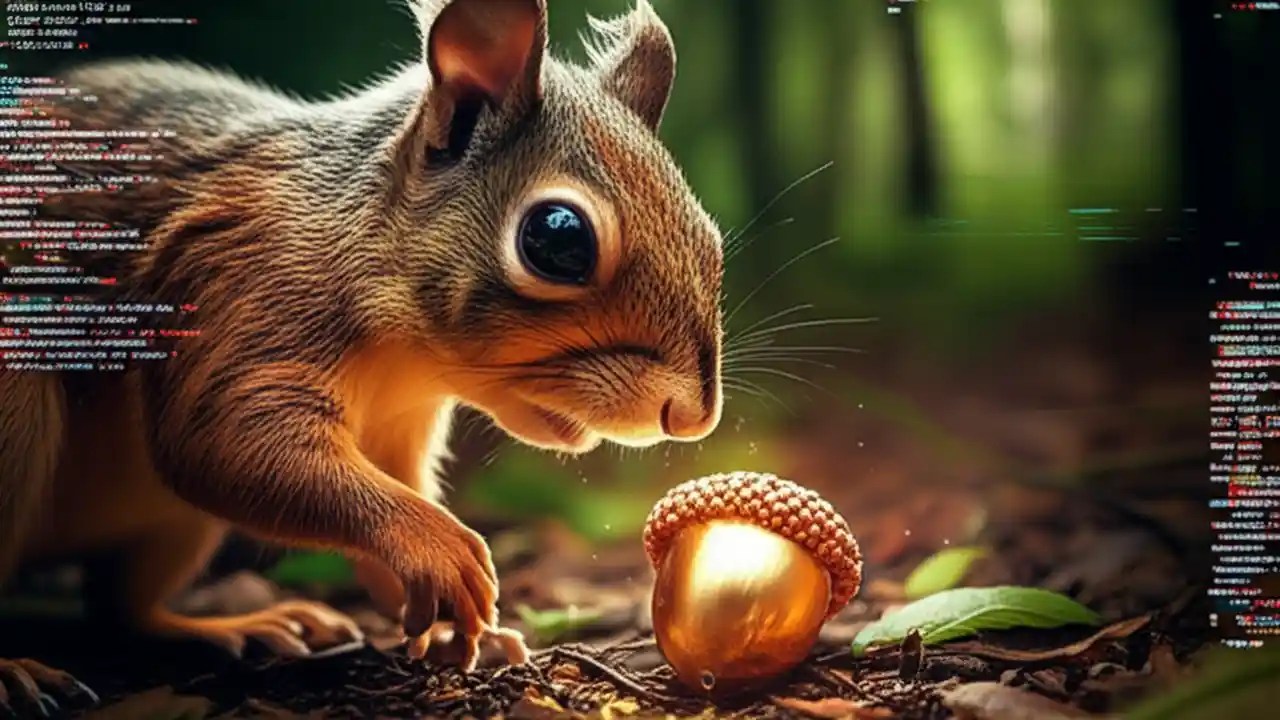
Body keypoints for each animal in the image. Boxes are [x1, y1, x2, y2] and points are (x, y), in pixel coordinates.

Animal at [0, 0, 723, 711]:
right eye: (558, 239)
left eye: (711, 241)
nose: (693, 417)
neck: (407, 359)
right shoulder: (241, 293)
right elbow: (225, 440)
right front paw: (442, 550)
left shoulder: (397, 426)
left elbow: (379, 488)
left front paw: (462, 628)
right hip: (17, 409)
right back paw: (19, 672)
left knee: (122, 609)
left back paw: (238, 626)